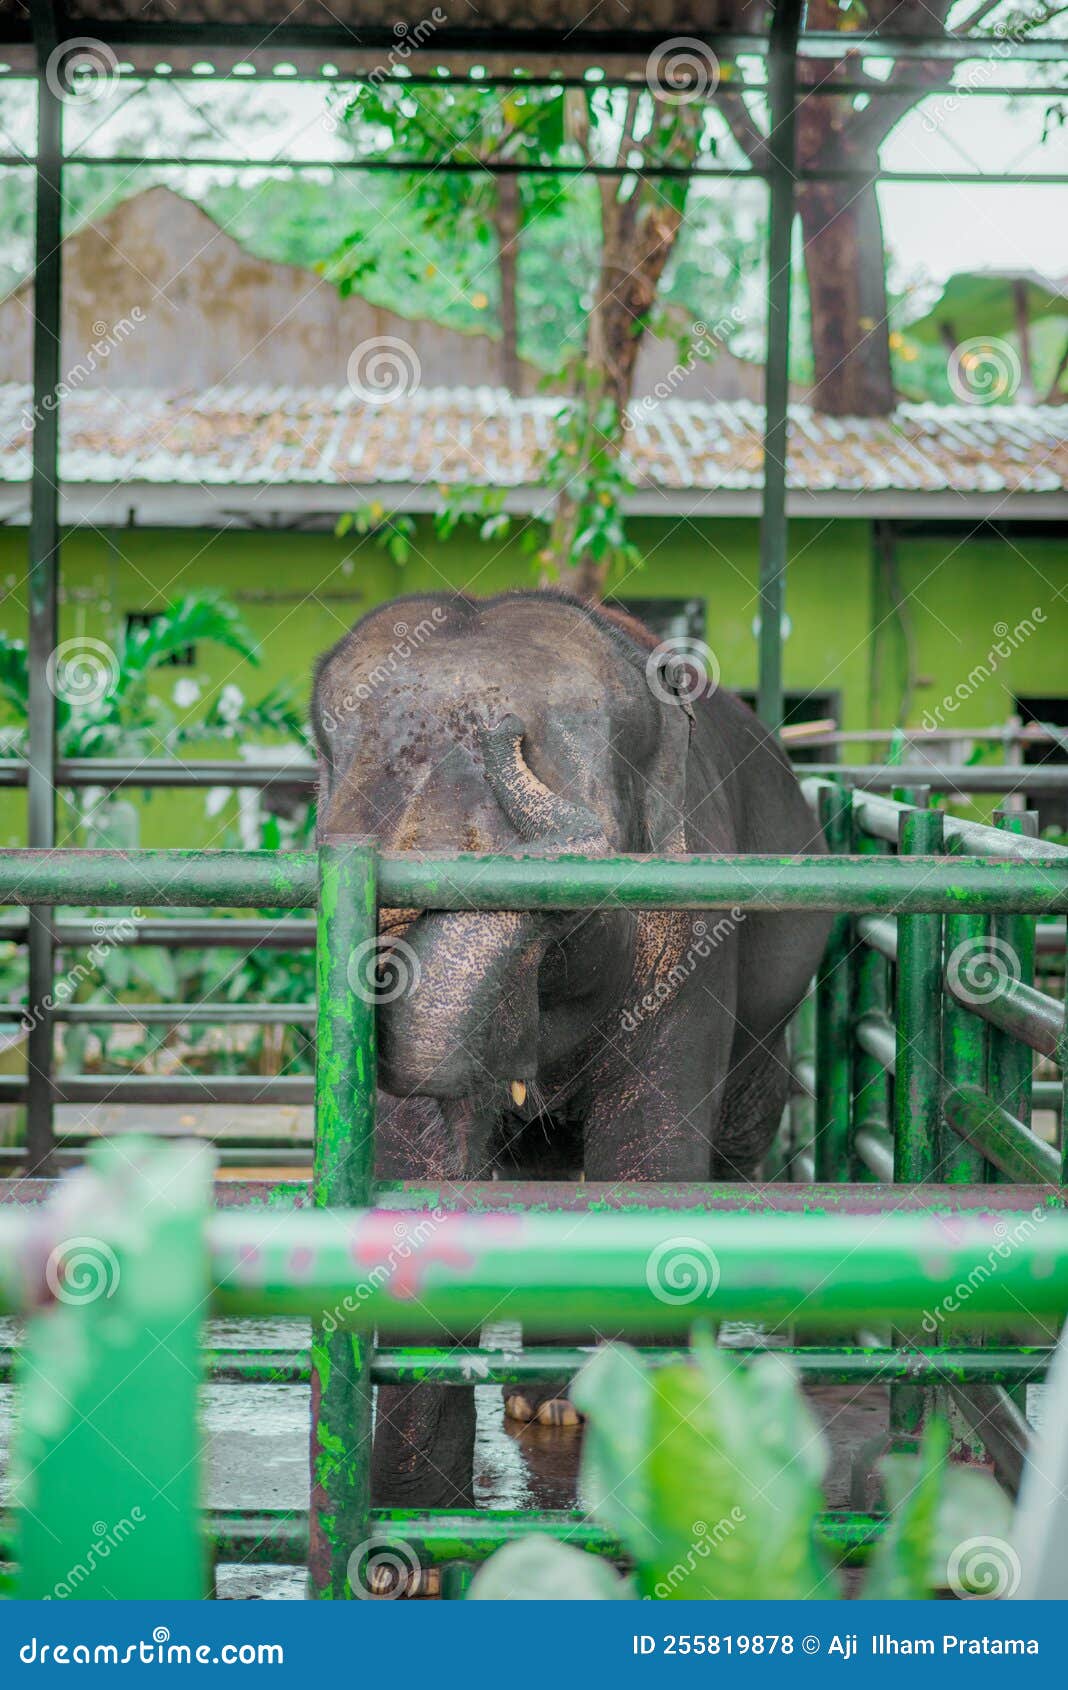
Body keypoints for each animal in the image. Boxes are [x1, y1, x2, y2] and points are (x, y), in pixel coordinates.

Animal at [312, 589, 830, 1522]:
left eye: (562, 916)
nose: (503, 734)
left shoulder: (693, 929)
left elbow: (651, 1170)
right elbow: (416, 1167)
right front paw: (413, 1532)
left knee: (732, 1151)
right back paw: (544, 1406)